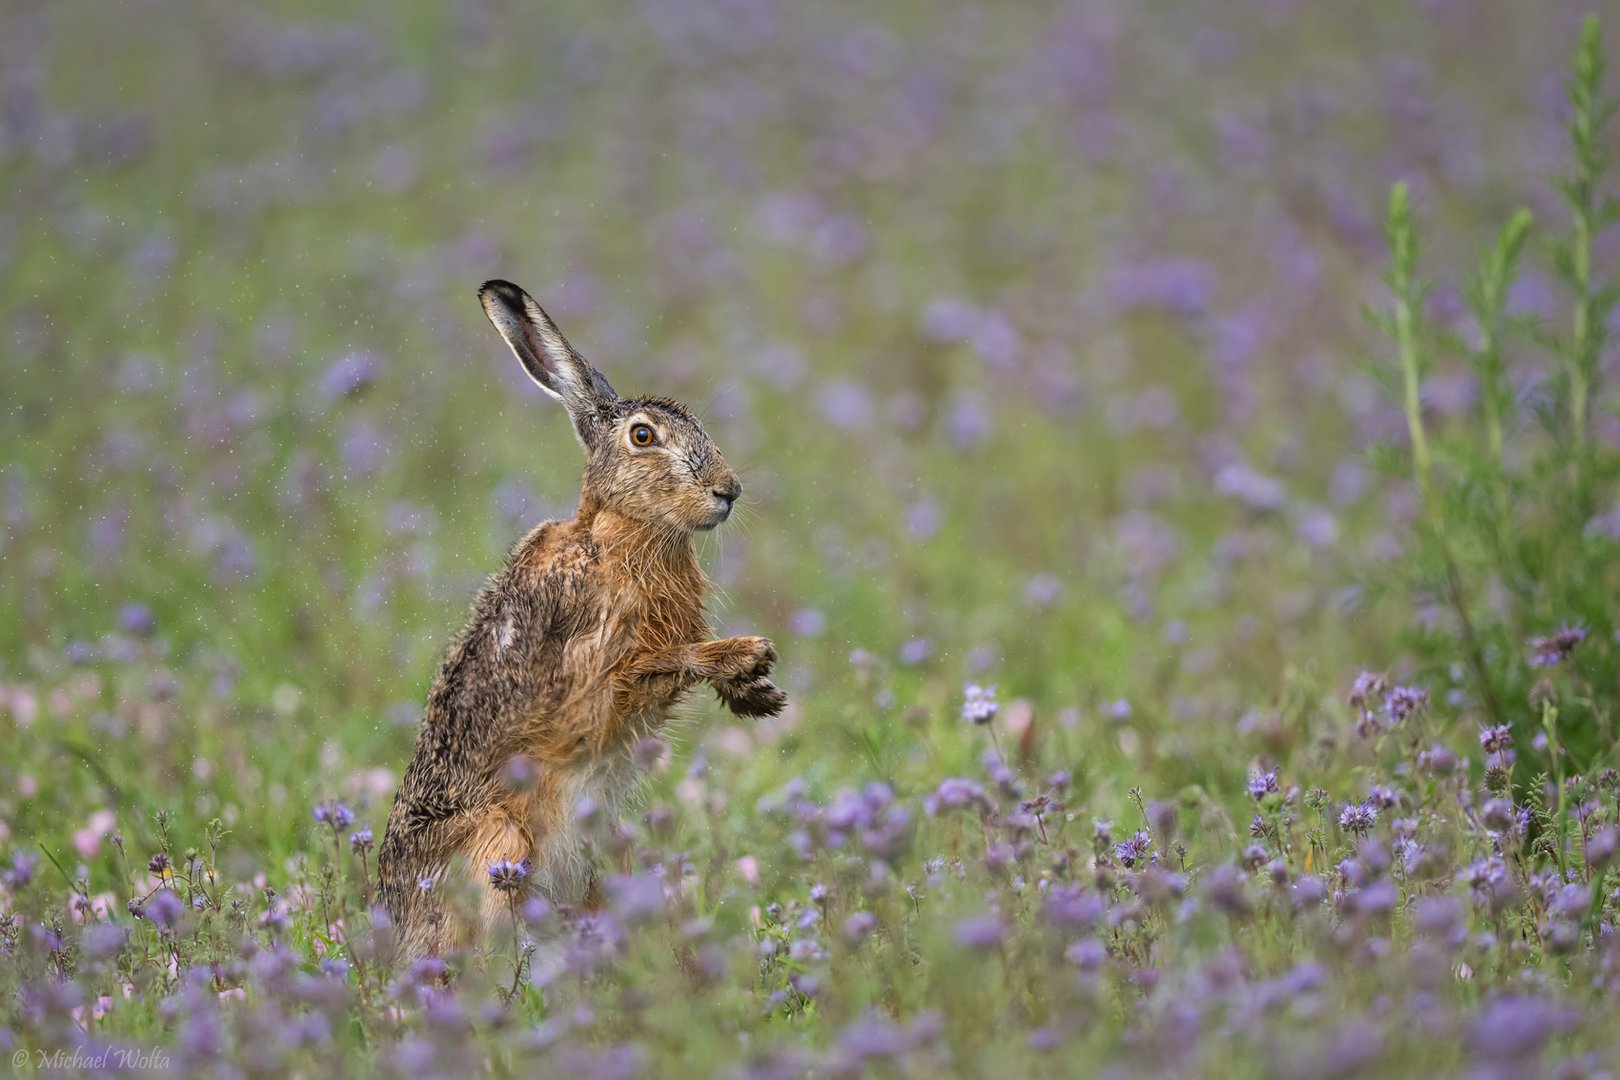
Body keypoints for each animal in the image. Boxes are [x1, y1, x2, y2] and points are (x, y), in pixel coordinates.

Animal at [376, 279, 785, 962]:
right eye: (644, 437)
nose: (728, 491)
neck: (617, 535)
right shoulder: (586, 684)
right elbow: (658, 663)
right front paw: (742, 655)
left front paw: (757, 692)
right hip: (500, 845)